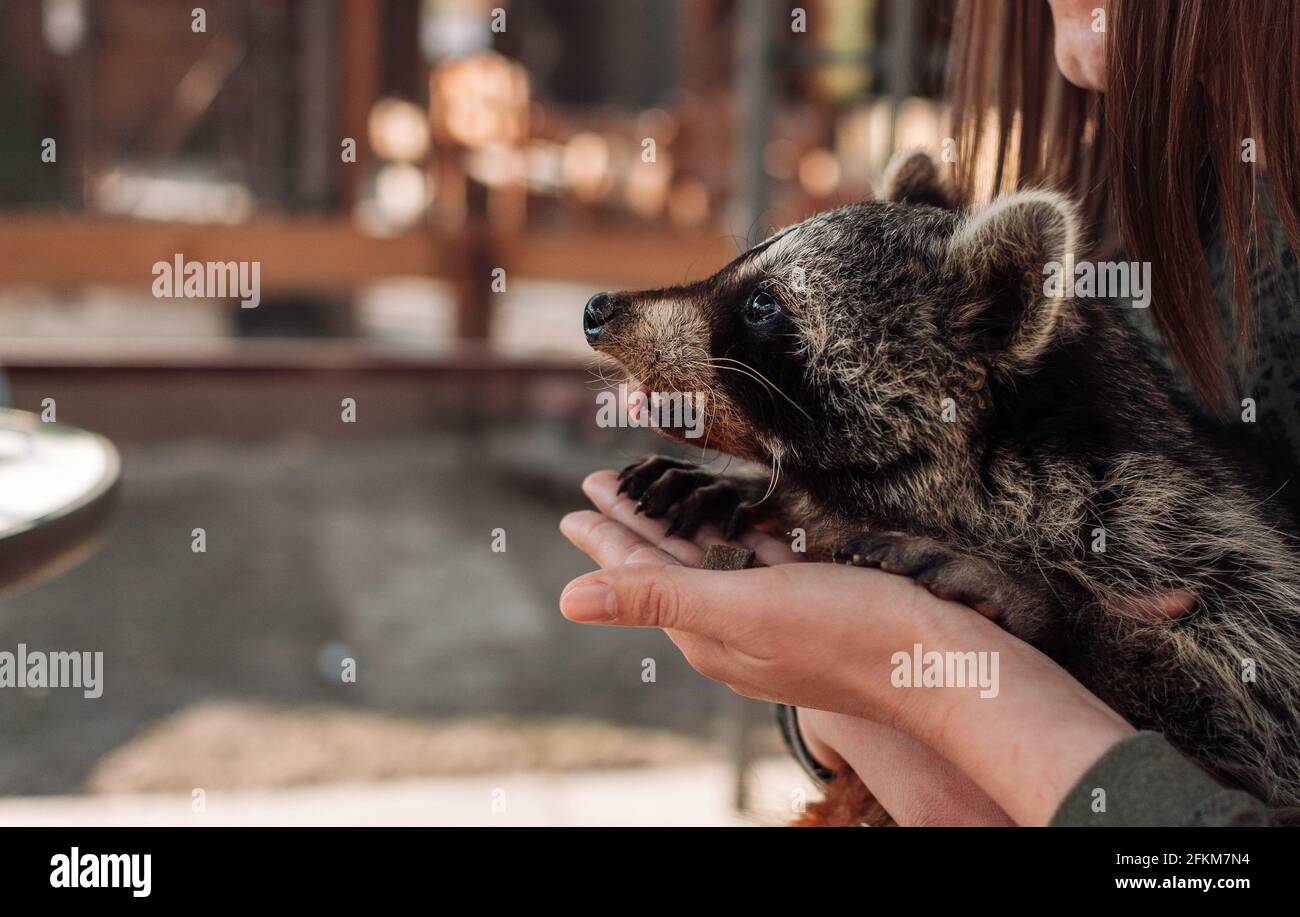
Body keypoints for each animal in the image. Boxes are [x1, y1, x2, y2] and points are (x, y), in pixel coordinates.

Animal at [582, 150, 1300, 822]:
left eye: (763, 305)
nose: (598, 308)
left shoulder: (1193, 540)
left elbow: (1249, 719)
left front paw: (1044, 606)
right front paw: (756, 490)